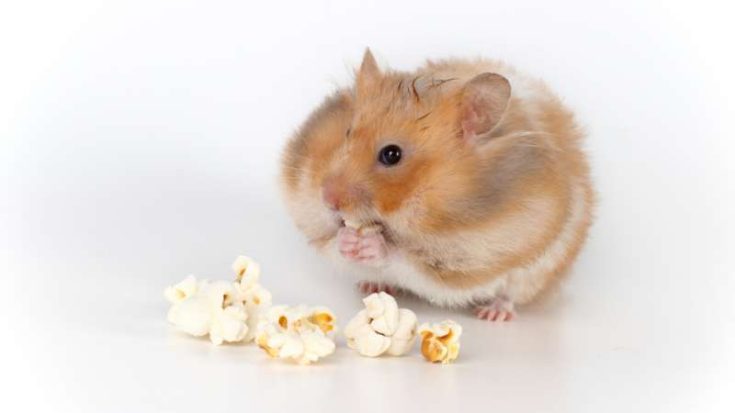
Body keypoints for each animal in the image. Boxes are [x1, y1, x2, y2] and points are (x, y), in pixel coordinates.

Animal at [280, 50, 594, 321]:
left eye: (392, 154)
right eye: (347, 132)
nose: (327, 198)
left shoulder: (468, 258)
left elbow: (407, 260)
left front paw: (372, 244)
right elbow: (330, 241)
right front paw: (347, 239)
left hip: (534, 275)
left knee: (510, 295)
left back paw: (494, 314)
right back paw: (373, 286)